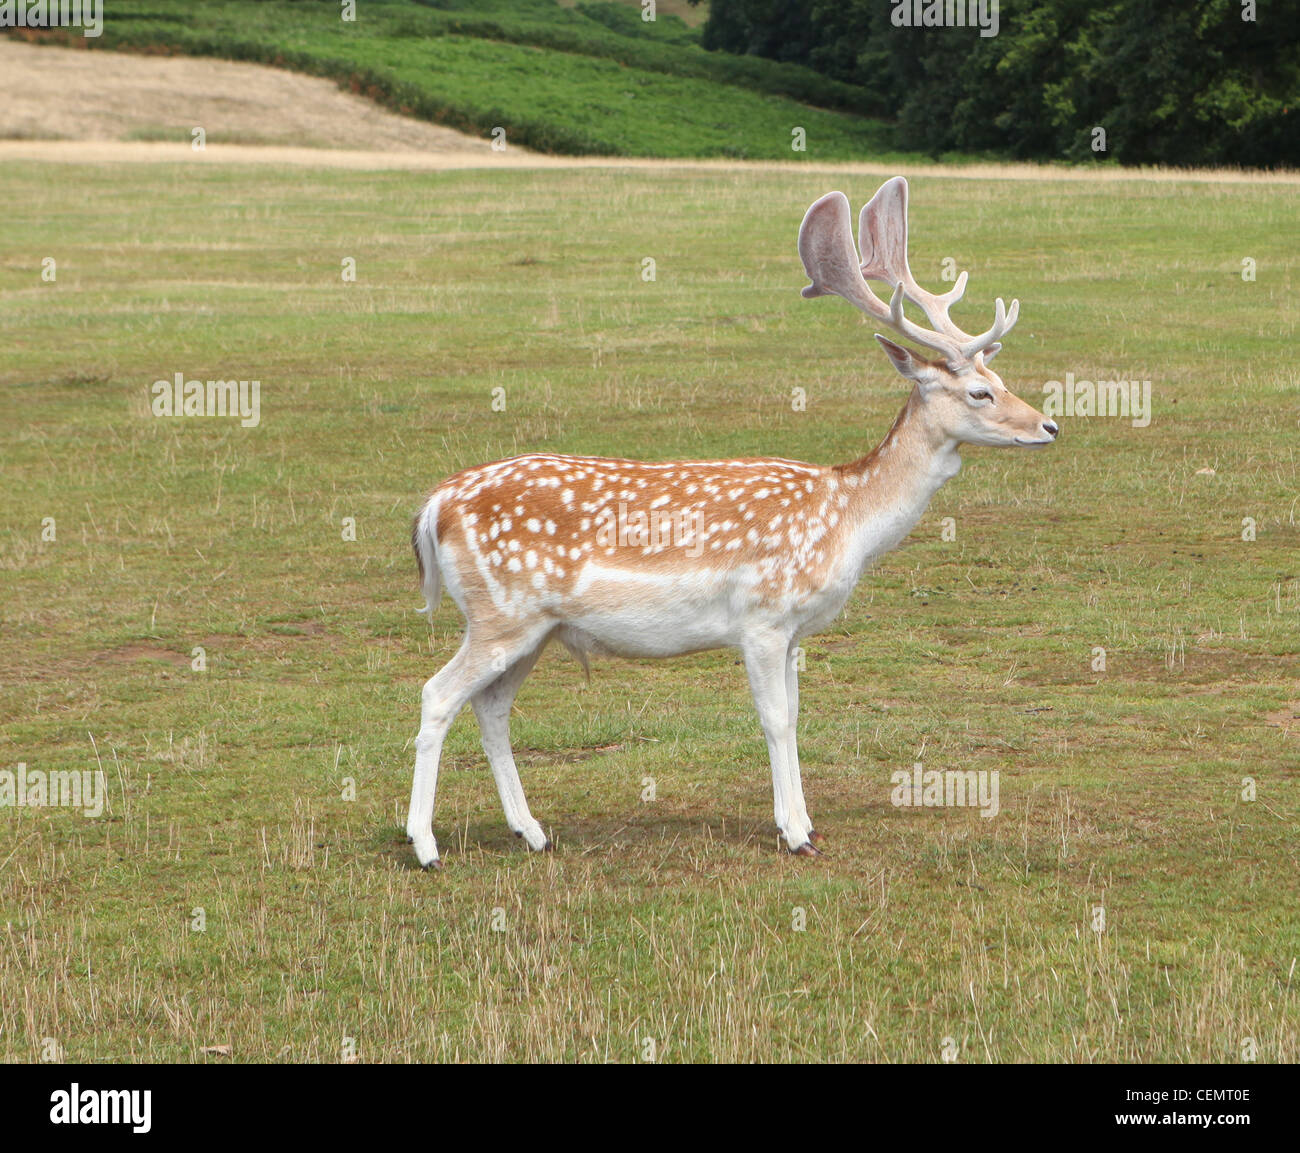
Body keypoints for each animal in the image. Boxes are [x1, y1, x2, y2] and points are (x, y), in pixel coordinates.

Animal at [405, 176, 1057, 868]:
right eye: (980, 393)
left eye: (1001, 377)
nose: (1049, 425)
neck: (846, 518)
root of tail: (435, 505)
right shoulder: (763, 617)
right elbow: (776, 719)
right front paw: (795, 833)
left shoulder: (794, 631)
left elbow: (796, 714)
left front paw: (807, 824)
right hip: (500, 614)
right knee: (438, 694)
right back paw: (426, 845)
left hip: (535, 628)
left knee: (491, 707)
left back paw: (530, 831)